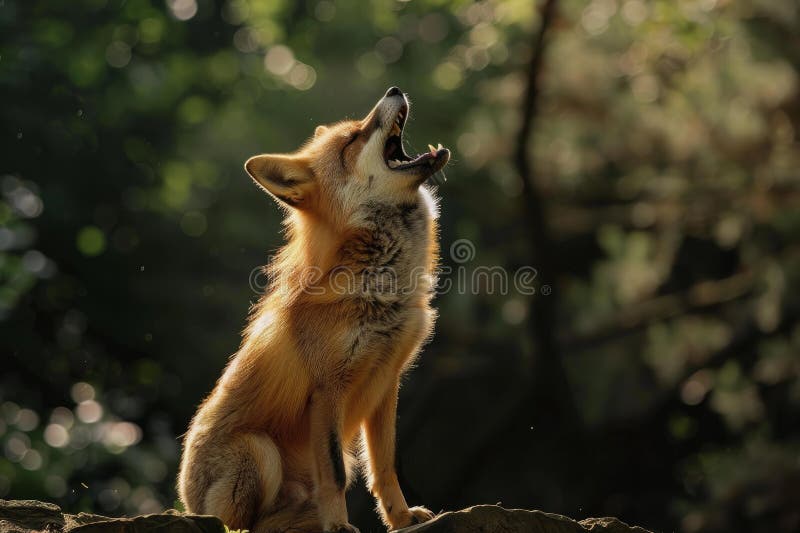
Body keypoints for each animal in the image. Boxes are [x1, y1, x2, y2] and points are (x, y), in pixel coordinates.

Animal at [177, 87, 450, 533]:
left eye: (356, 129)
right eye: (352, 140)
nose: (394, 90)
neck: (382, 291)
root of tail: (187, 502)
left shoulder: (387, 382)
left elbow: (386, 468)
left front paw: (400, 517)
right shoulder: (327, 390)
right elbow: (335, 476)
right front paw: (338, 526)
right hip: (258, 451)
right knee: (242, 524)